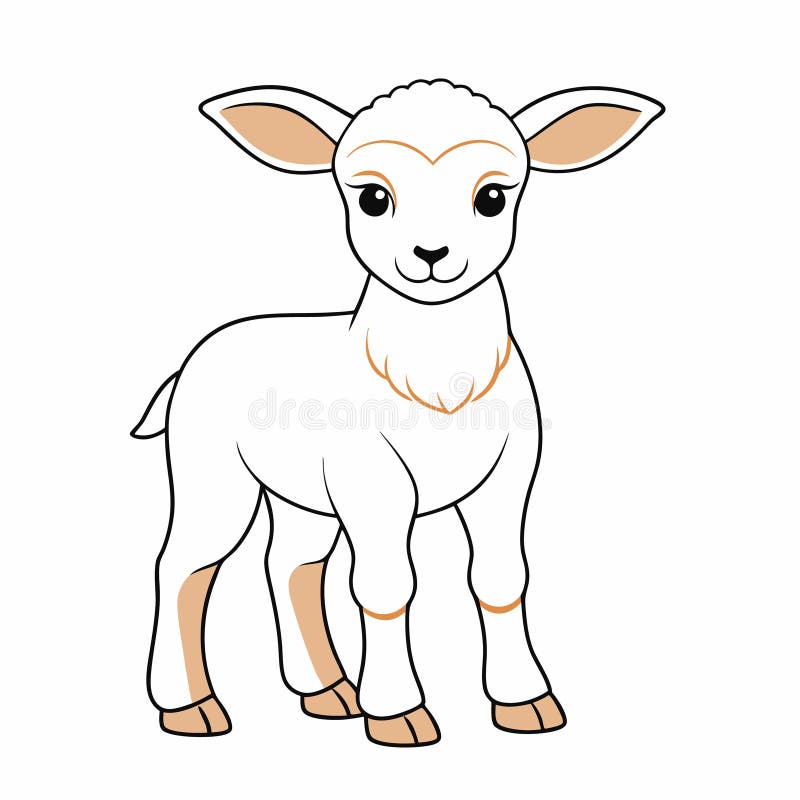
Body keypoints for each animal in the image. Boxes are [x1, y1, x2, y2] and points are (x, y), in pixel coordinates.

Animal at [132, 79, 663, 746]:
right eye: (372, 197)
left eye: (493, 196)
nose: (431, 253)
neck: (439, 386)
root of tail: (193, 357)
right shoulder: (374, 481)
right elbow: (386, 587)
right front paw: (398, 714)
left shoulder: (509, 476)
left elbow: (501, 578)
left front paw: (527, 703)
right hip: (210, 471)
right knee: (184, 564)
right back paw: (192, 708)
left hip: (299, 492)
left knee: (290, 564)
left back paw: (329, 692)